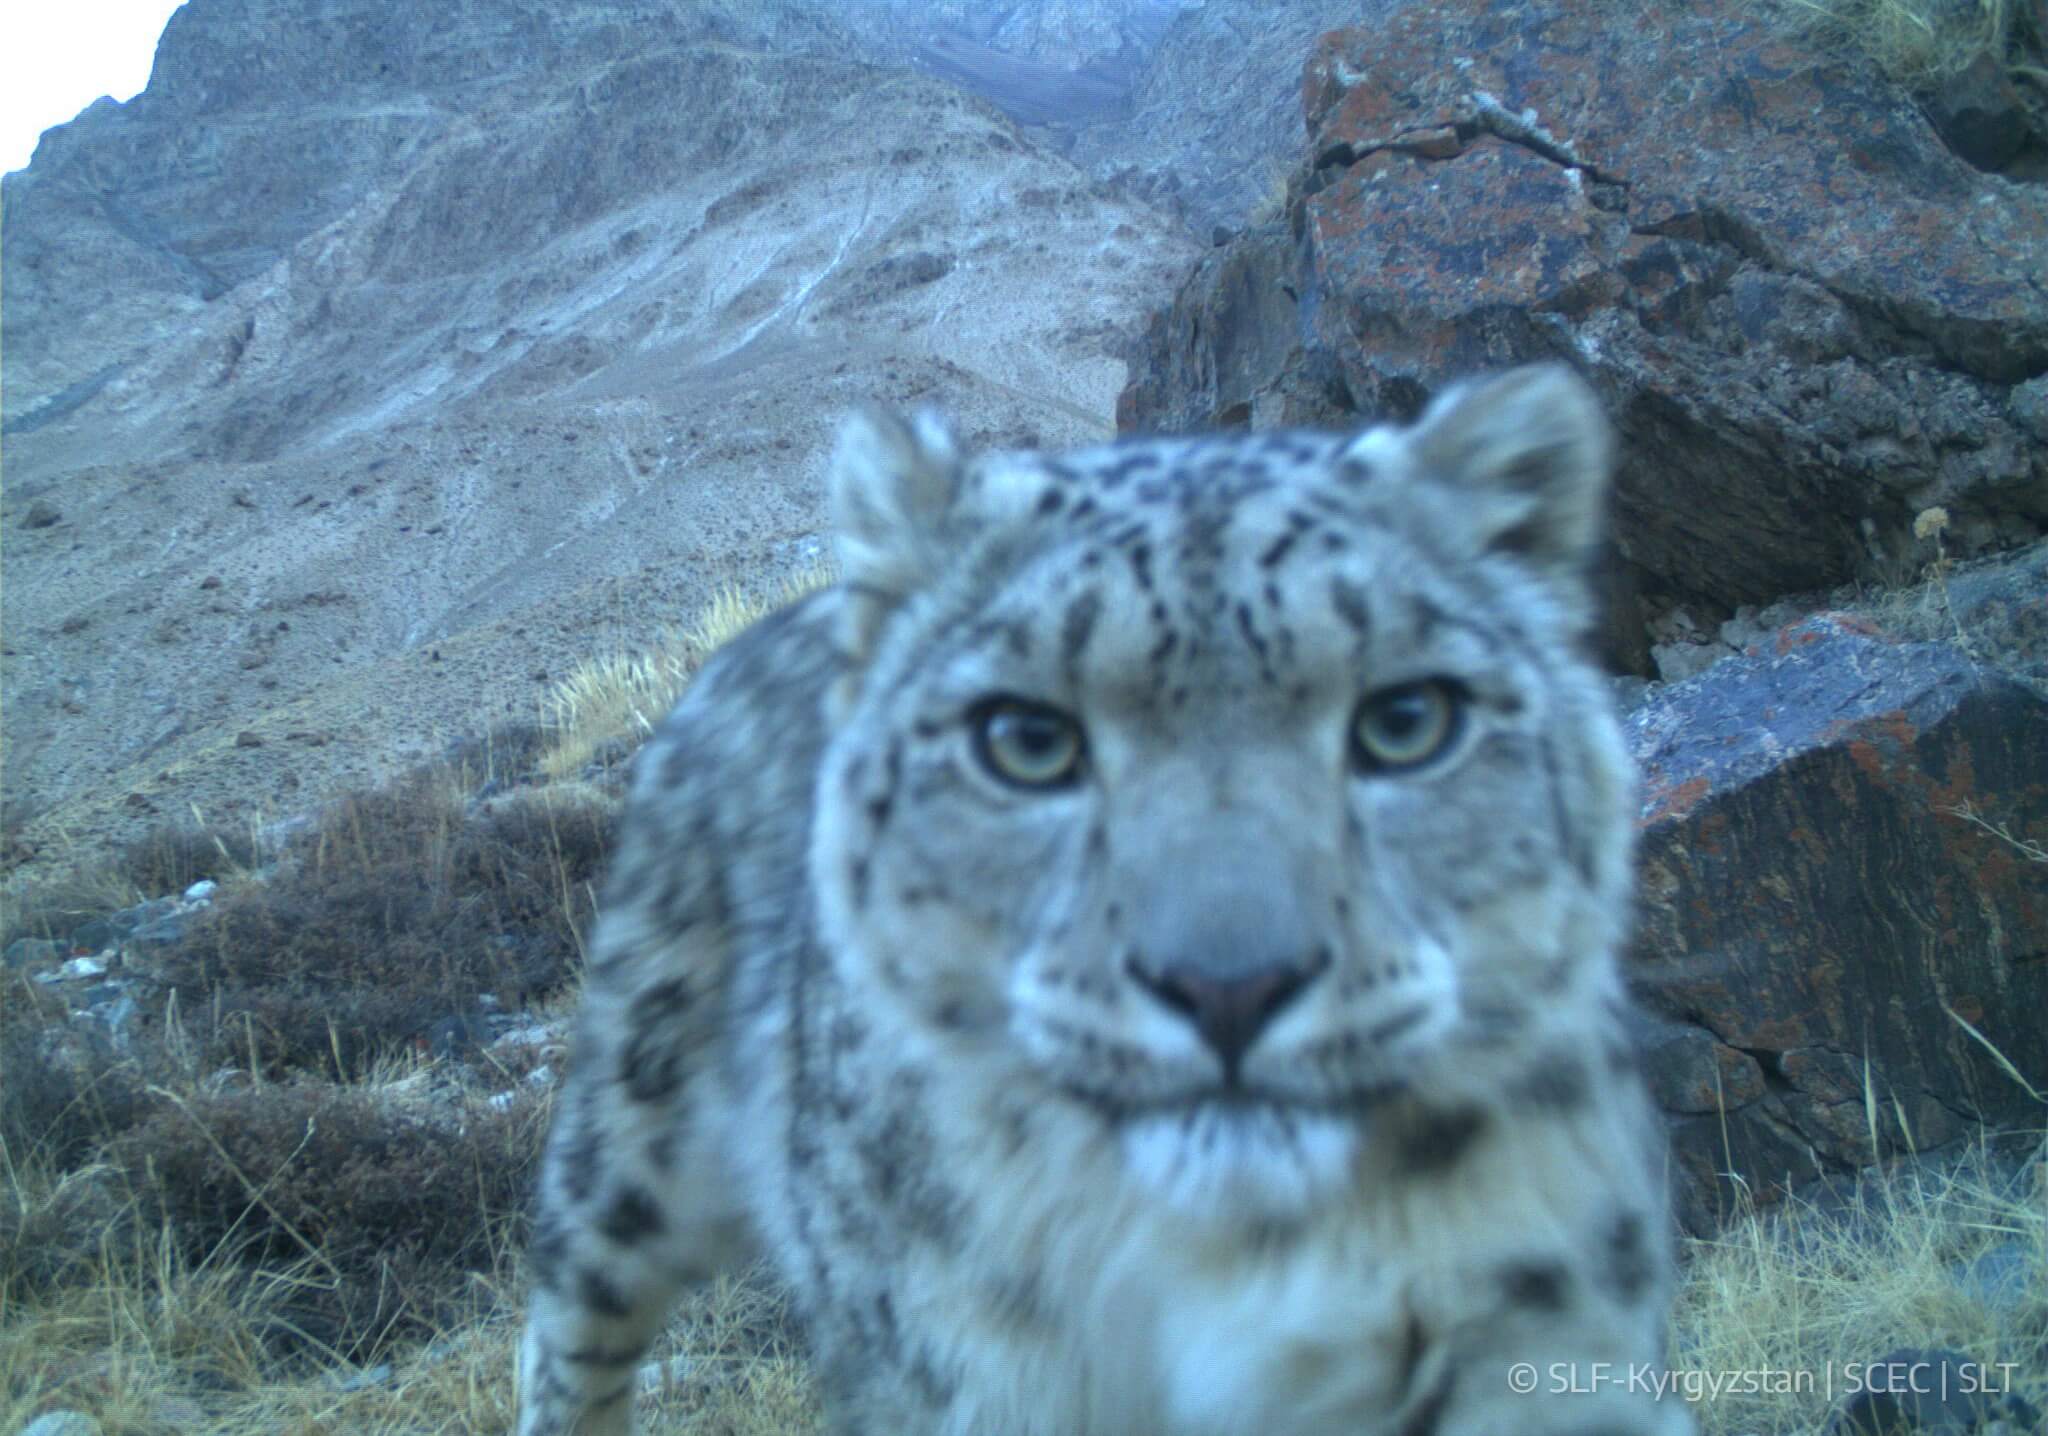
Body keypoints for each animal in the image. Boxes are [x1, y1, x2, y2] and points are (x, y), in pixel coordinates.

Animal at [516, 363, 1694, 1436]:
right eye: (1025, 739)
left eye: (1408, 720)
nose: (1230, 986)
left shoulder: (1539, 1330)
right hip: (631, 1127)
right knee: (572, 1327)